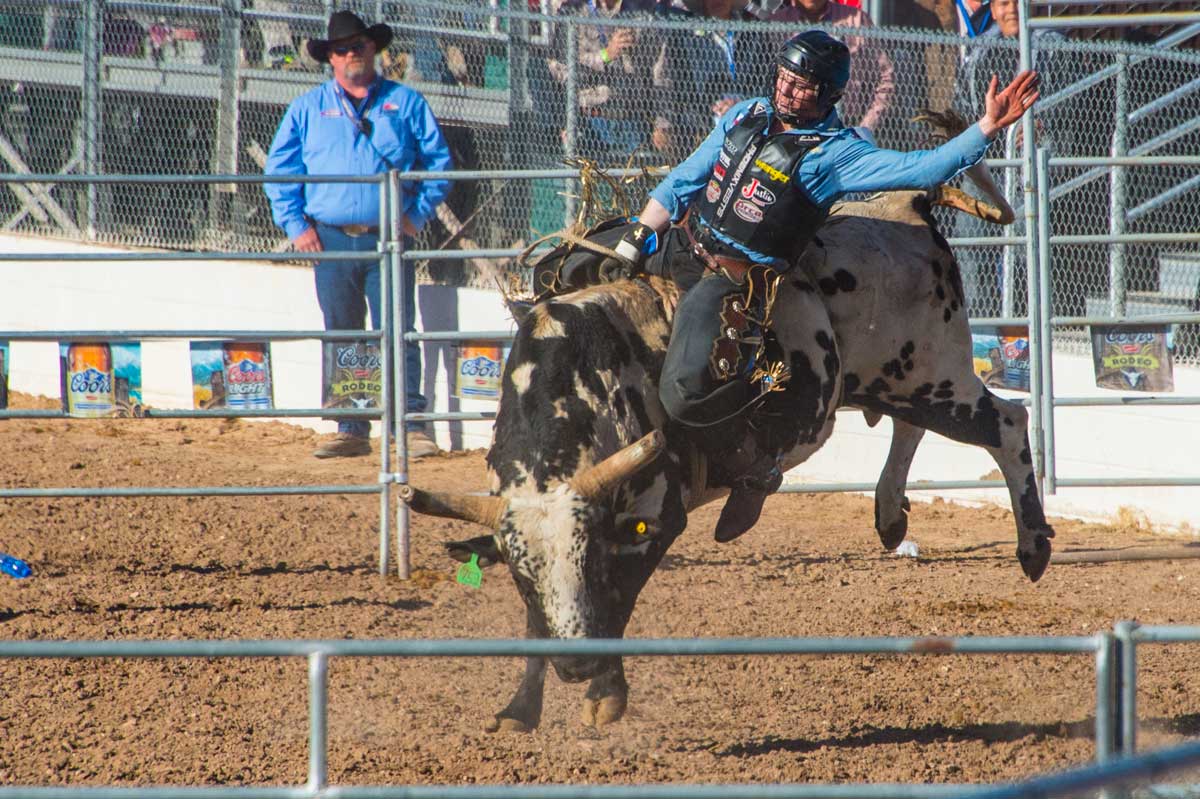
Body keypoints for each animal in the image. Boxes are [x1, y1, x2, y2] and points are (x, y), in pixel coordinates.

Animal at [398, 185, 1055, 734]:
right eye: (520, 574)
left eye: (592, 559)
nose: (577, 666)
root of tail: (908, 205)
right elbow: (535, 622)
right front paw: (521, 707)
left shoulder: (655, 518)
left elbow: (621, 600)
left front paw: (606, 695)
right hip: (894, 384)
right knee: (910, 427)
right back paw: (890, 515)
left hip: (937, 377)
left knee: (1007, 424)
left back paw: (1033, 546)